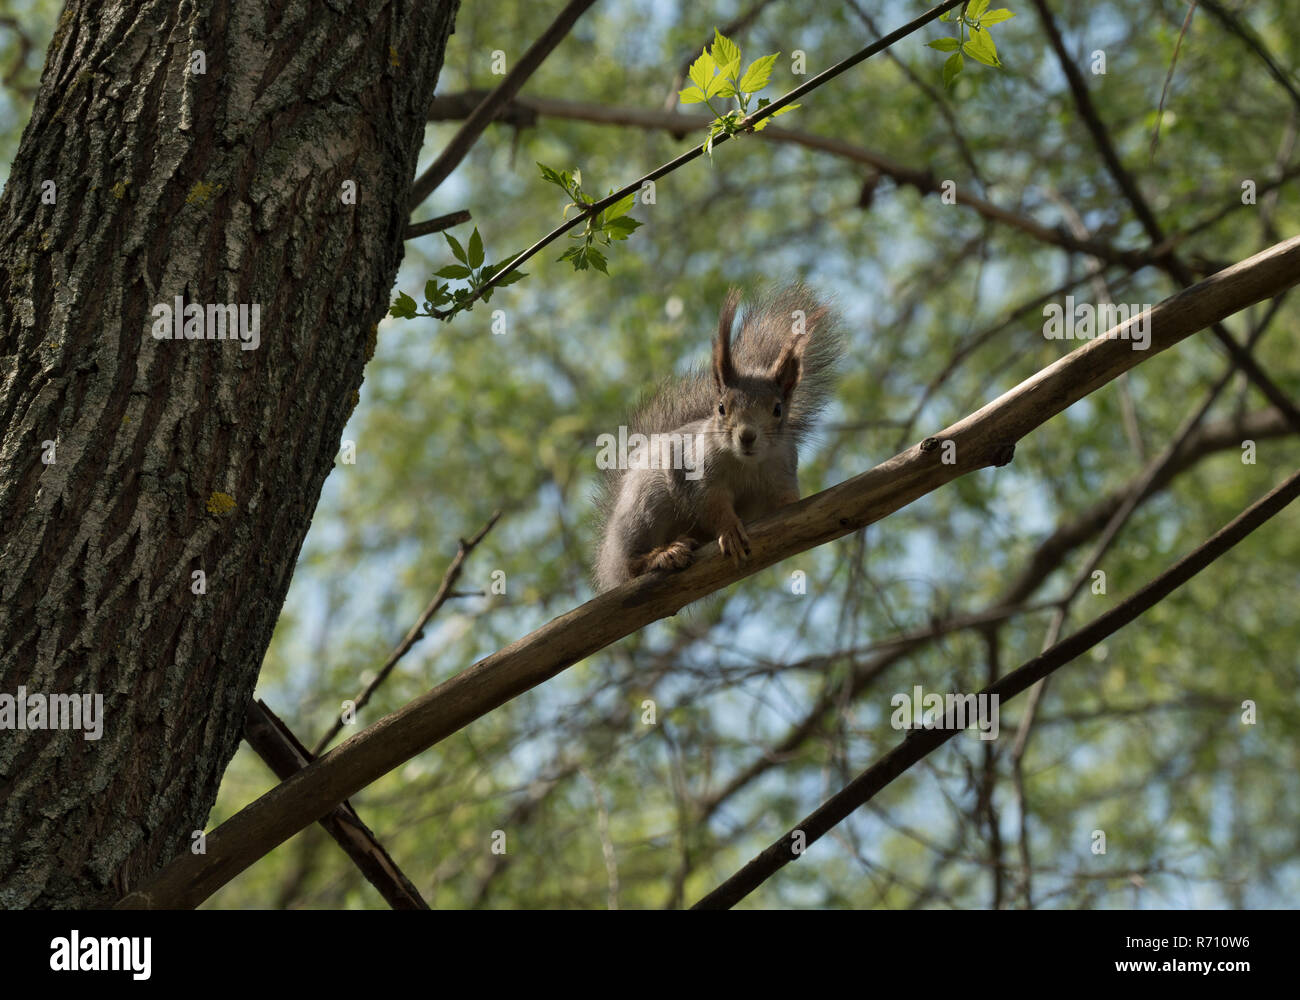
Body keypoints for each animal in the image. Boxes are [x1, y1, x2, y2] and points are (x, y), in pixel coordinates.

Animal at [593, 284, 842, 592]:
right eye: (721, 407)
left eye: (778, 409)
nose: (747, 436)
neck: (746, 464)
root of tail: (608, 560)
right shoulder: (698, 476)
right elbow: (712, 508)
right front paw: (730, 531)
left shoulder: (782, 471)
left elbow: (783, 499)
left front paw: (794, 508)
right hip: (645, 507)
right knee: (631, 566)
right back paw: (663, 554)